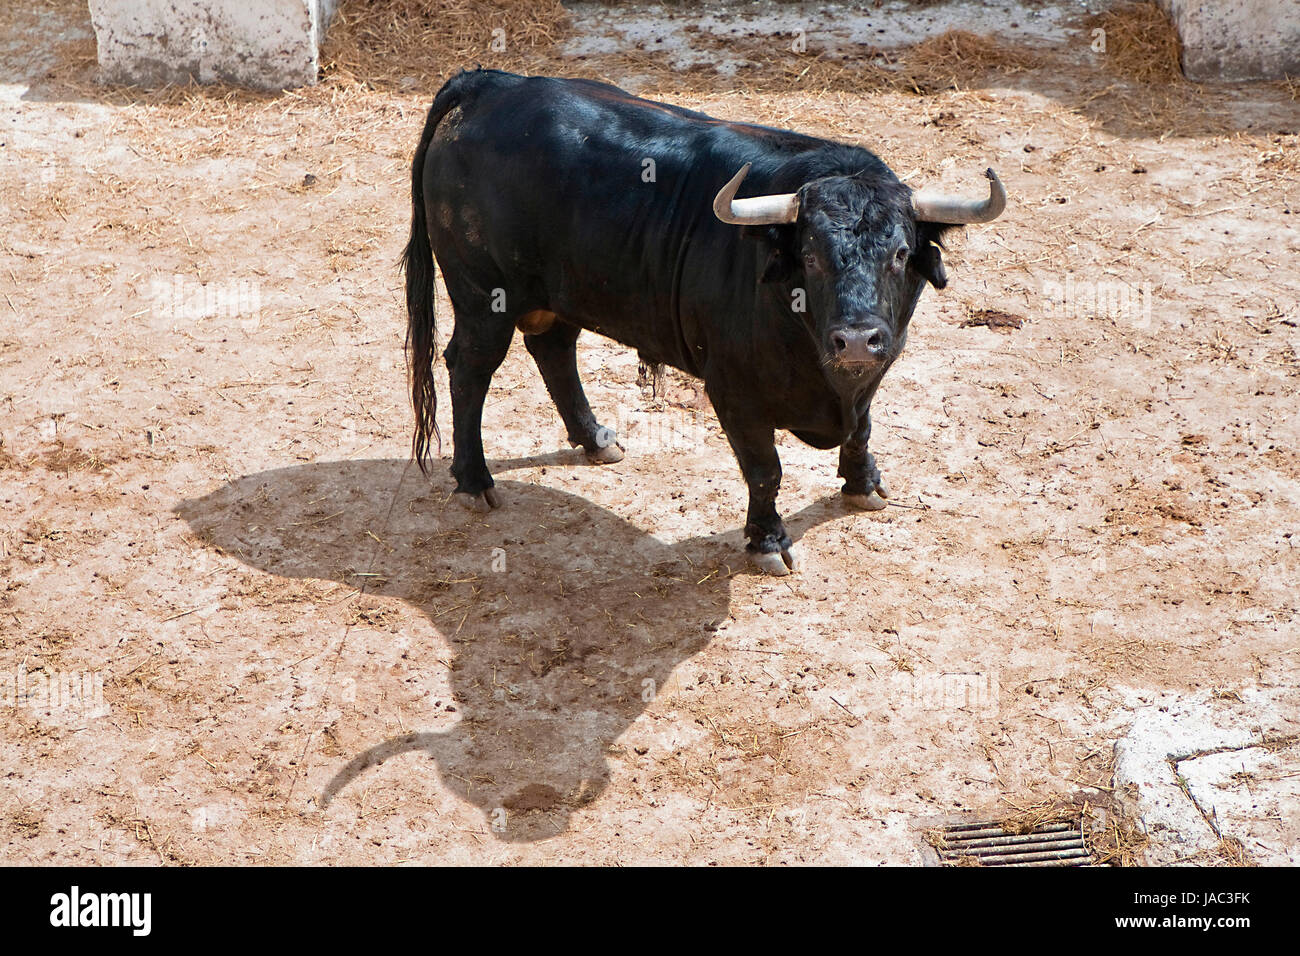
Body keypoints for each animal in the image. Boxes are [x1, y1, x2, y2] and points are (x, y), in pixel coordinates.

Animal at [403, 69, 1007, 575]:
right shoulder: (734, 391)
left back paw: (596, 440)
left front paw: (864, 485)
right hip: (482, 299)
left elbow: (861, 430)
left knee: (553, 348)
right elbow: (765, 469)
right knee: (469, 369)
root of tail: (489, 83)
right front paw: (767, 542)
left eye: (901, 253)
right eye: (810, 254)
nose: (857, 339)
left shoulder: (872, 373)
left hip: (560, 293)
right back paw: (474, 481)